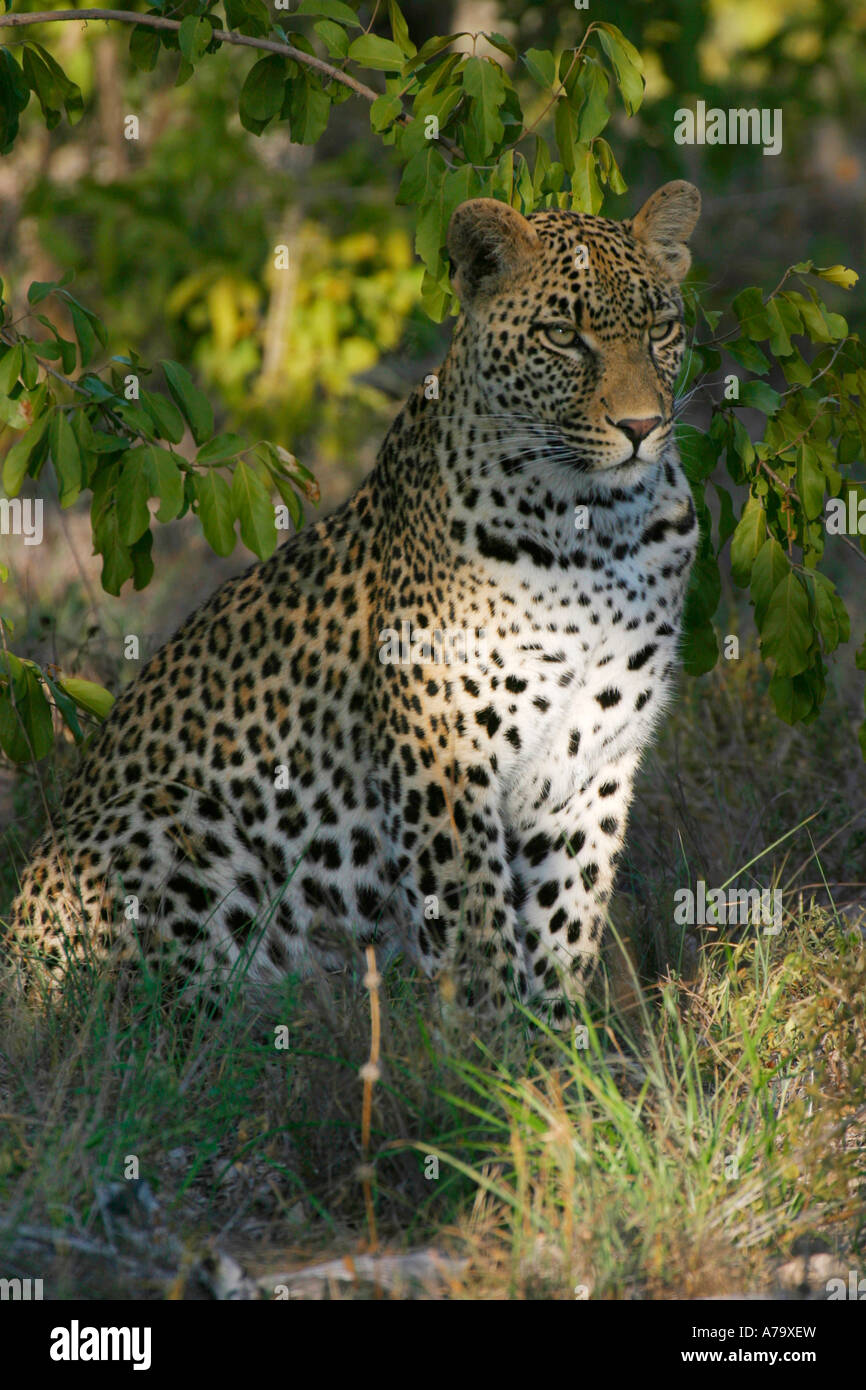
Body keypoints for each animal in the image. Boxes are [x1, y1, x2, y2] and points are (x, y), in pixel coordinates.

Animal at [9, 180, 701, 1024]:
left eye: (661, 329)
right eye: (564, 337)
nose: (642, 426)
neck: (601, 530)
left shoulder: (592, 761)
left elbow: (566, 915)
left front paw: (561, 1041)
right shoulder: (442, 746)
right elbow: (474, 919)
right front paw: (495, 1041)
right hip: (174, 816)